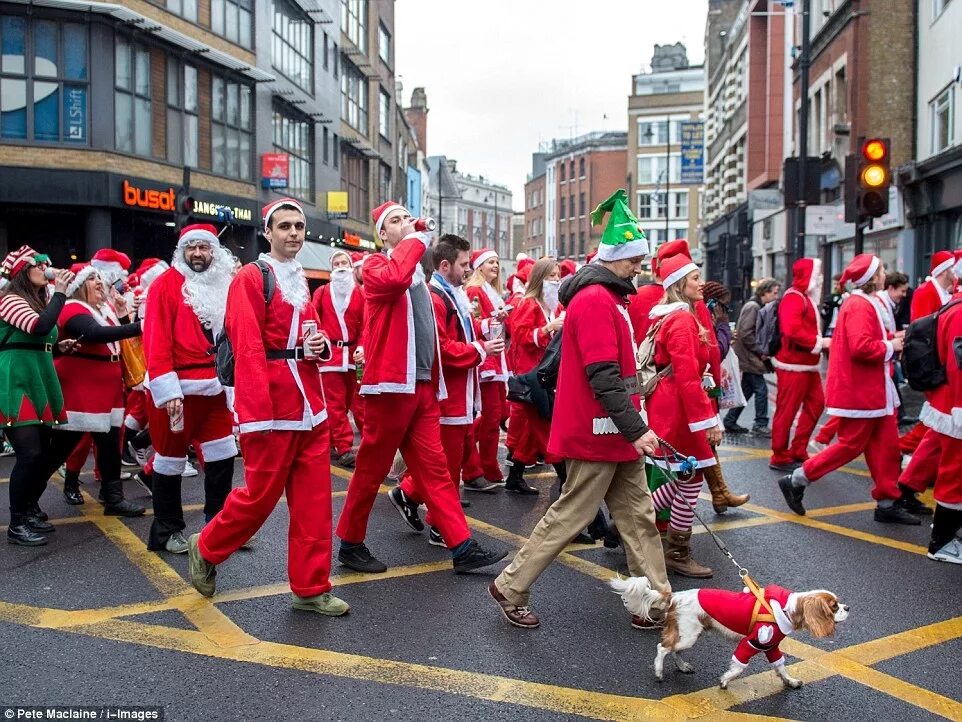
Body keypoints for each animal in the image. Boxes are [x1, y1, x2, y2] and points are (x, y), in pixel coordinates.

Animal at [334, 197, 506, 572]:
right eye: (396, 220)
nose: (415, 220)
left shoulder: (428, 415)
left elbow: (438, 477)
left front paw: (469, 550)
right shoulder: (376, 272)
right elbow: (388, 274)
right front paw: (486, 346)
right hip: (390, 415)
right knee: (369, 471)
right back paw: (353, 550)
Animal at [612, 572, 844, 688]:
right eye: (834, 606)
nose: (848, 608)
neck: (785, 608)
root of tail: (675, 596)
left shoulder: (771, 647)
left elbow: (780, 667)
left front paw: (790, 682)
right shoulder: (751, 642)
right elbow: (739, 667)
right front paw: (725, 680)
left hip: (688, 634)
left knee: (674, 650)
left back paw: (683, 667)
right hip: (688, 635)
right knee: (662, 648)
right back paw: (659, 672)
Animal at [768, 258, 828, 472]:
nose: (821, 276)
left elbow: (814, 408)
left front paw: (800, 454)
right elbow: (795, 329)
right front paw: (825, 343)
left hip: (807, 376)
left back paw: (796, 455)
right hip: (794, 378)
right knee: (784, 416)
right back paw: (780, 460)